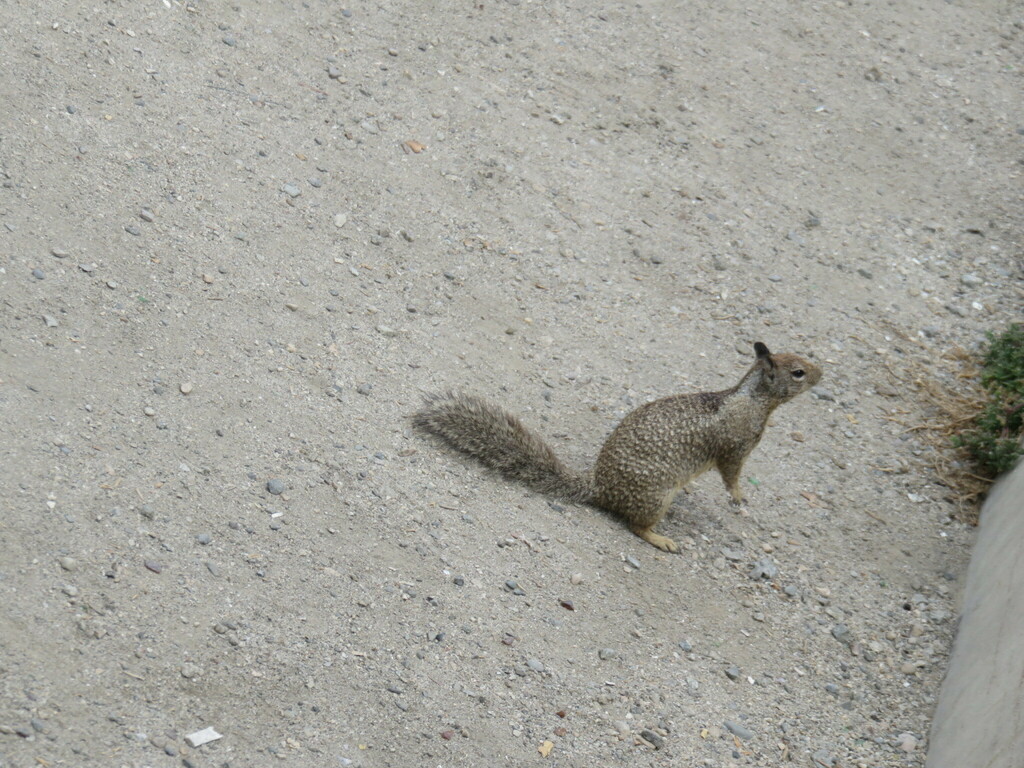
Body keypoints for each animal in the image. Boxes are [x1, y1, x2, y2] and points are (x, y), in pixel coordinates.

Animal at [413, 342, 822, 553]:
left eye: (803, 361)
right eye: (798, 372)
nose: (822, 373)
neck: (754, 399)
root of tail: (602, 489)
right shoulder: (736, 446)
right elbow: (732, 474)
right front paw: (738, 496)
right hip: (656, 496)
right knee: (635, 526)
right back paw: (662, 539)